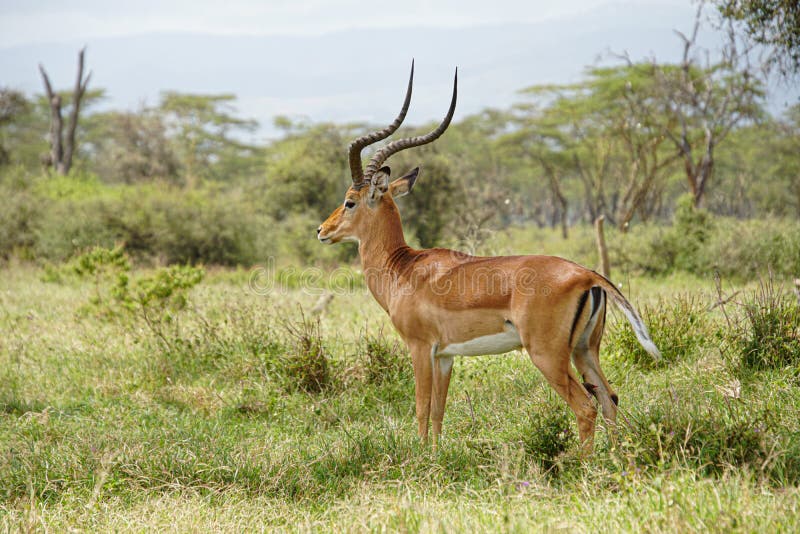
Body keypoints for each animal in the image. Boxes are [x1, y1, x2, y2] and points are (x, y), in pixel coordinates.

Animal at [317, 63, 661, 453]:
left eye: (349, 201)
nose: (322, 230)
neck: (404, 269)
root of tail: (588, 275)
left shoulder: (421, 348)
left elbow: (421, 409)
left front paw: (420, 457)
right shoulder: (445, 355)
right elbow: (438, 411)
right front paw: (436, 457)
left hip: (547, 355)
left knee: (586, 406)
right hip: (584, 350)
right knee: (609, 397)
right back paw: (615, 458)